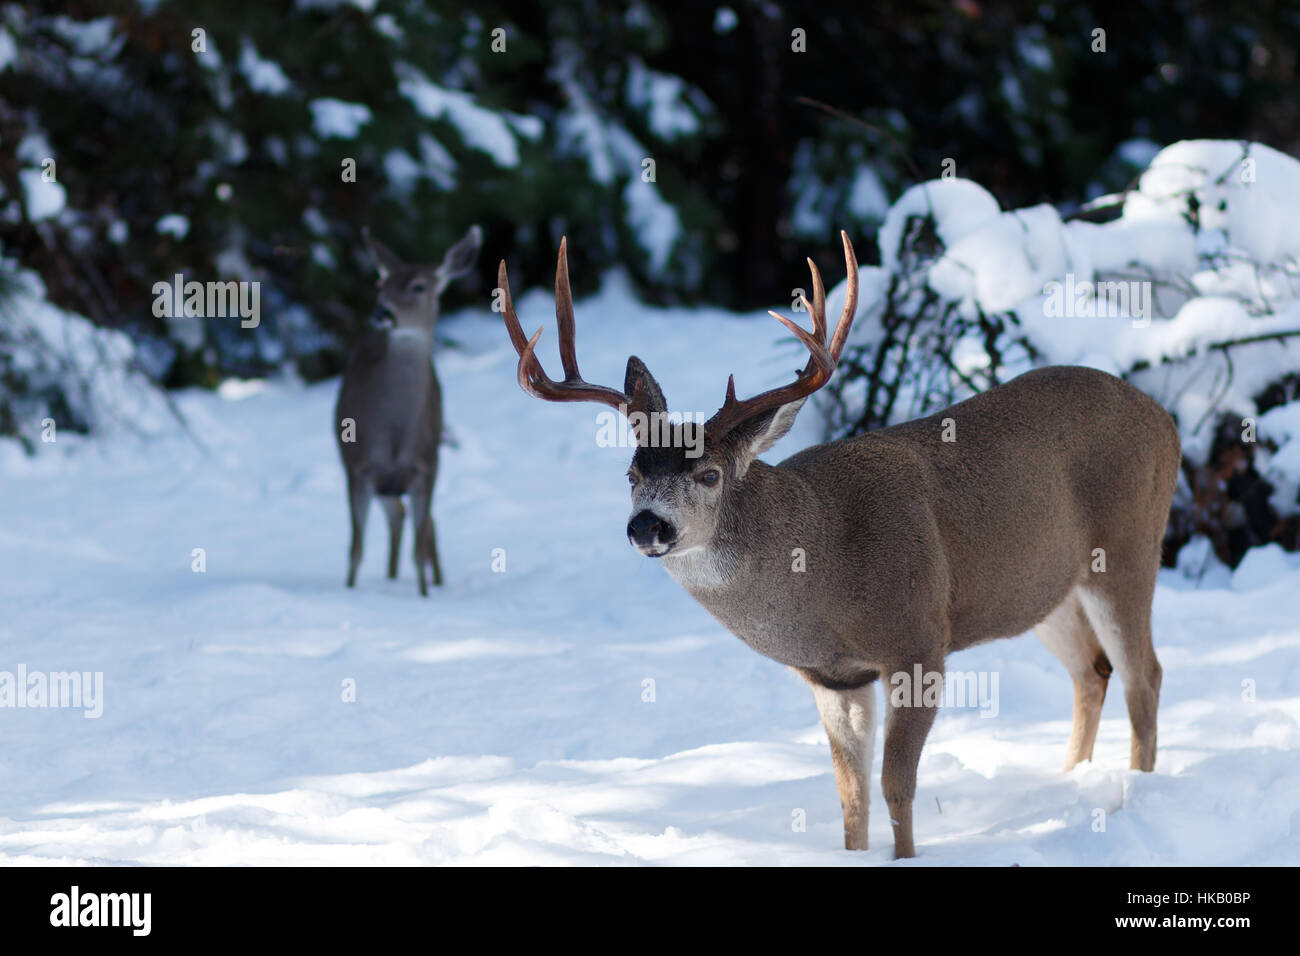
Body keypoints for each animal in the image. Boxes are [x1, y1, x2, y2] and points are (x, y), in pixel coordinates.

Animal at [335, 225, 481, 595]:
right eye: (380, 284)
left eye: (418, 286)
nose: (381, 313)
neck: (394, 436)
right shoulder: (357, 468)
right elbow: (355, 550)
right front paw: (349, 591)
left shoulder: (426, 468)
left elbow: (418, 550)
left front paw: (425, 596)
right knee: (398, 517)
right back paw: (390, 576)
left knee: (424, 527)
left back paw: (434, 580)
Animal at [497, 231, 1181, 859]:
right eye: (631, 474)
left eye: (709, 474)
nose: (647, 526)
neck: (824, 568)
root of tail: (1165, 419)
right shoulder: (833, 676)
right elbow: (850, 794)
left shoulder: (919, 639)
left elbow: (896, 784)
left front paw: (905, 857)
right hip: (1044, 590)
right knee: (1091, 671)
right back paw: (1072, 785)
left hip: (1128, 545)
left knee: (1144, 673)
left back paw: (1140, 796)